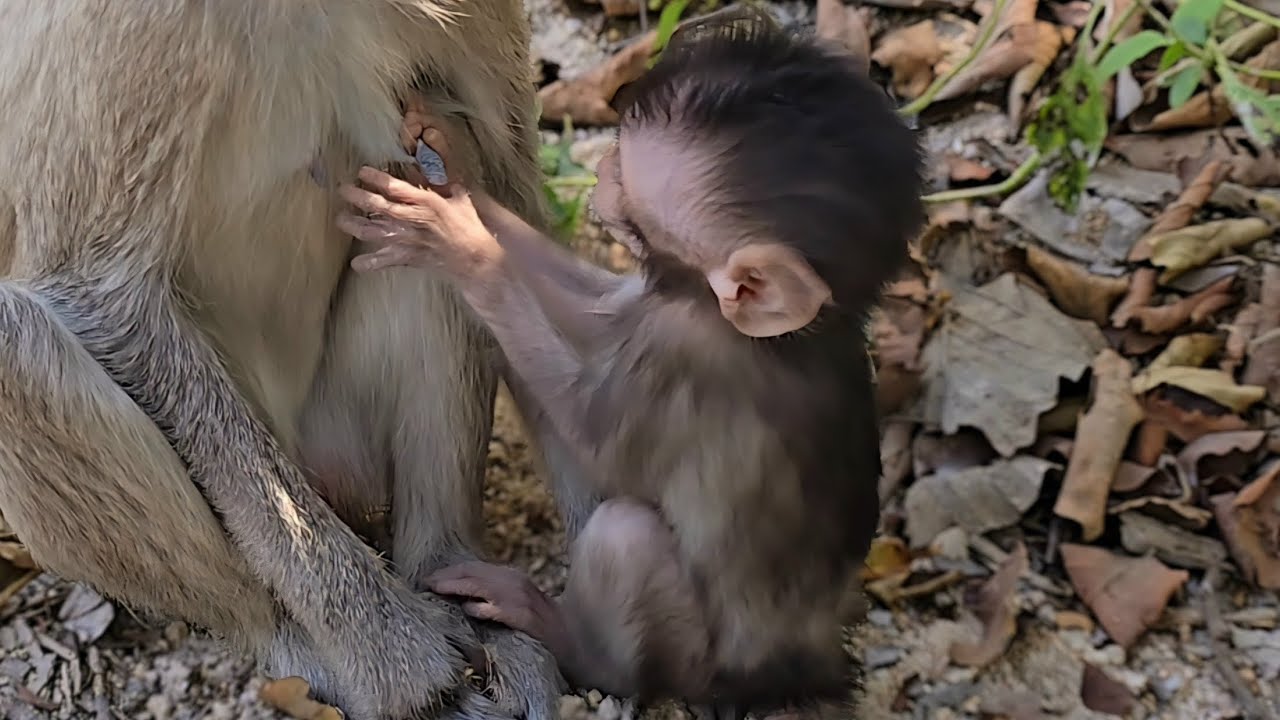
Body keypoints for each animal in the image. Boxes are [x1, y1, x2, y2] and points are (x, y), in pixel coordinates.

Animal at [0, 2, 566, 718]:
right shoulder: (135, 25)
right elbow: (101, 292)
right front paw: (403, 666)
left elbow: (513, 191)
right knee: (12, 339)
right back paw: (299, 641)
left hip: (341, 439)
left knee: (433, 201)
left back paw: (449, 565)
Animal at [332, 11, 925, 718]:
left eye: (635, 194)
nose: (605, 172)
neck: (798, 334)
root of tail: (800, 672)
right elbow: (600, 311)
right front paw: (459, 172)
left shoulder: (685, 348)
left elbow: (596, 437)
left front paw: (459, 244)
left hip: (697, 666)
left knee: (625, 535)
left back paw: (568, 638)